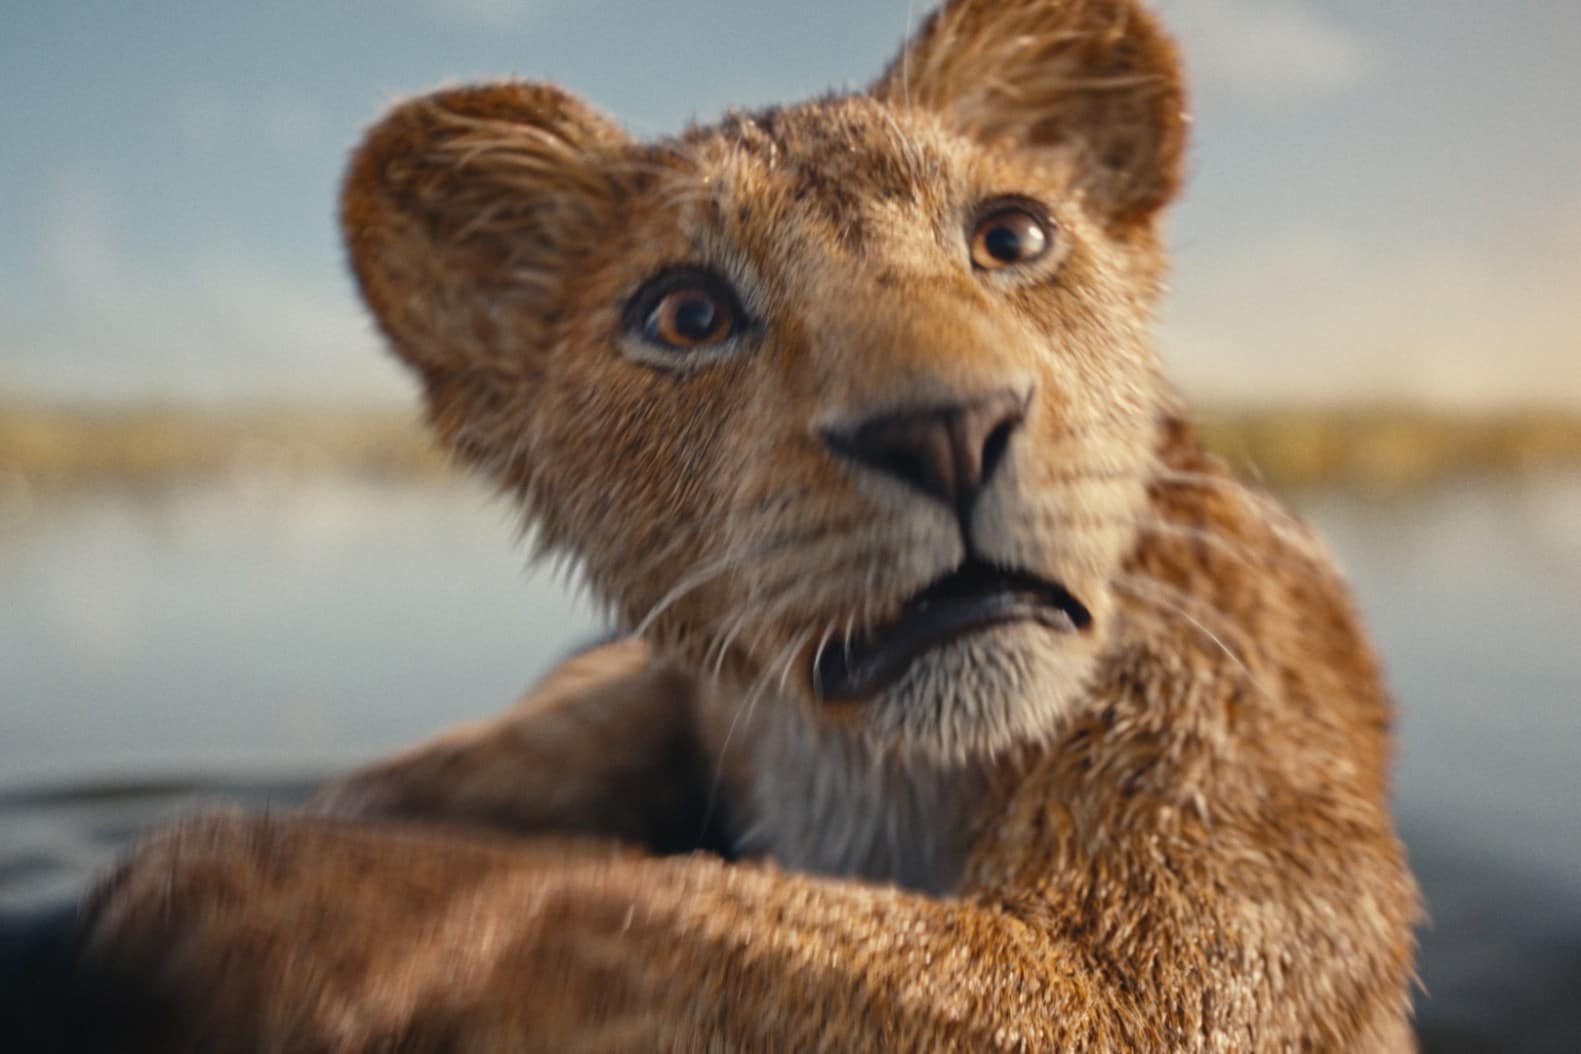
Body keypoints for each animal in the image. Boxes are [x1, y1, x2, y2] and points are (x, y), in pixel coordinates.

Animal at [19, 0, 1419, 1049]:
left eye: (1012, 235)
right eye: (687, 314)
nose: (946, 429)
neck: (873, 772)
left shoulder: (1173, 954)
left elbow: (640, 906)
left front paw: (254, 895)